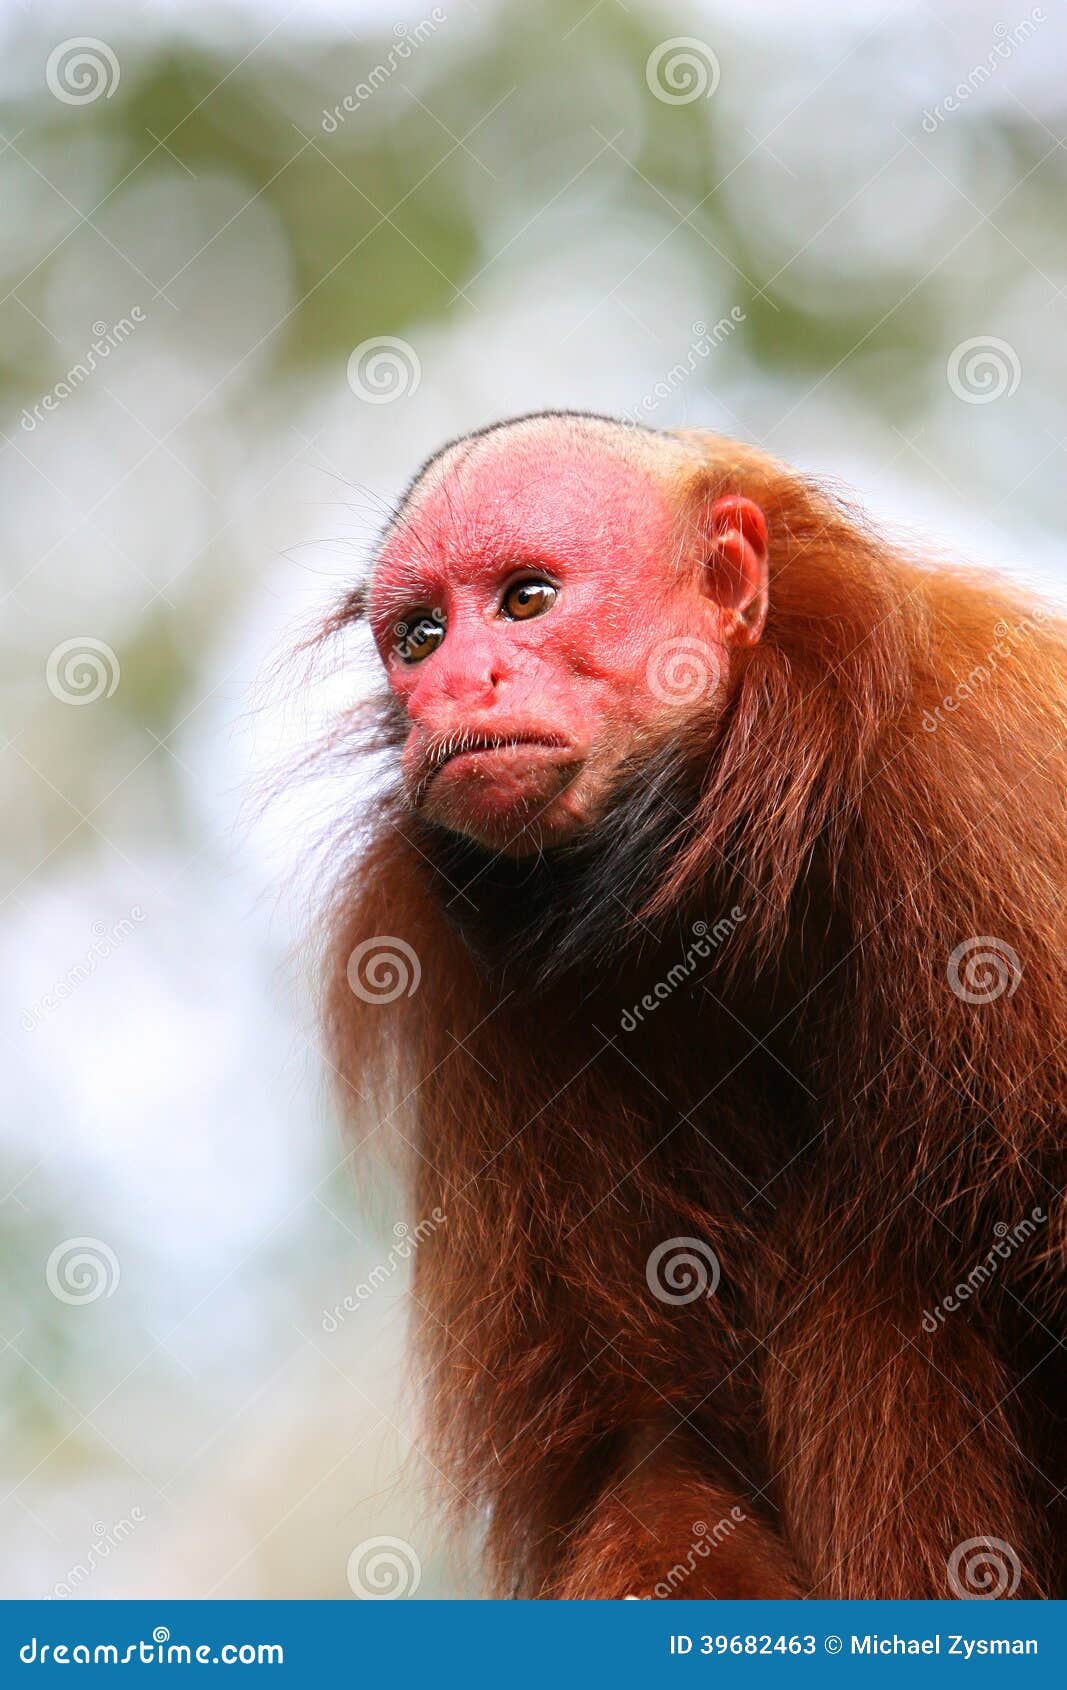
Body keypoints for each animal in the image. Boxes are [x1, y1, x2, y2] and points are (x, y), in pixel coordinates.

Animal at [320, 411, 1066, 1600]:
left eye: (525, 600)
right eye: (420, 634)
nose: (457, 686)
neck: (754, 878)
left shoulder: (994, 798)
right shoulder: (514, 1021)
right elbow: (662, 1448)